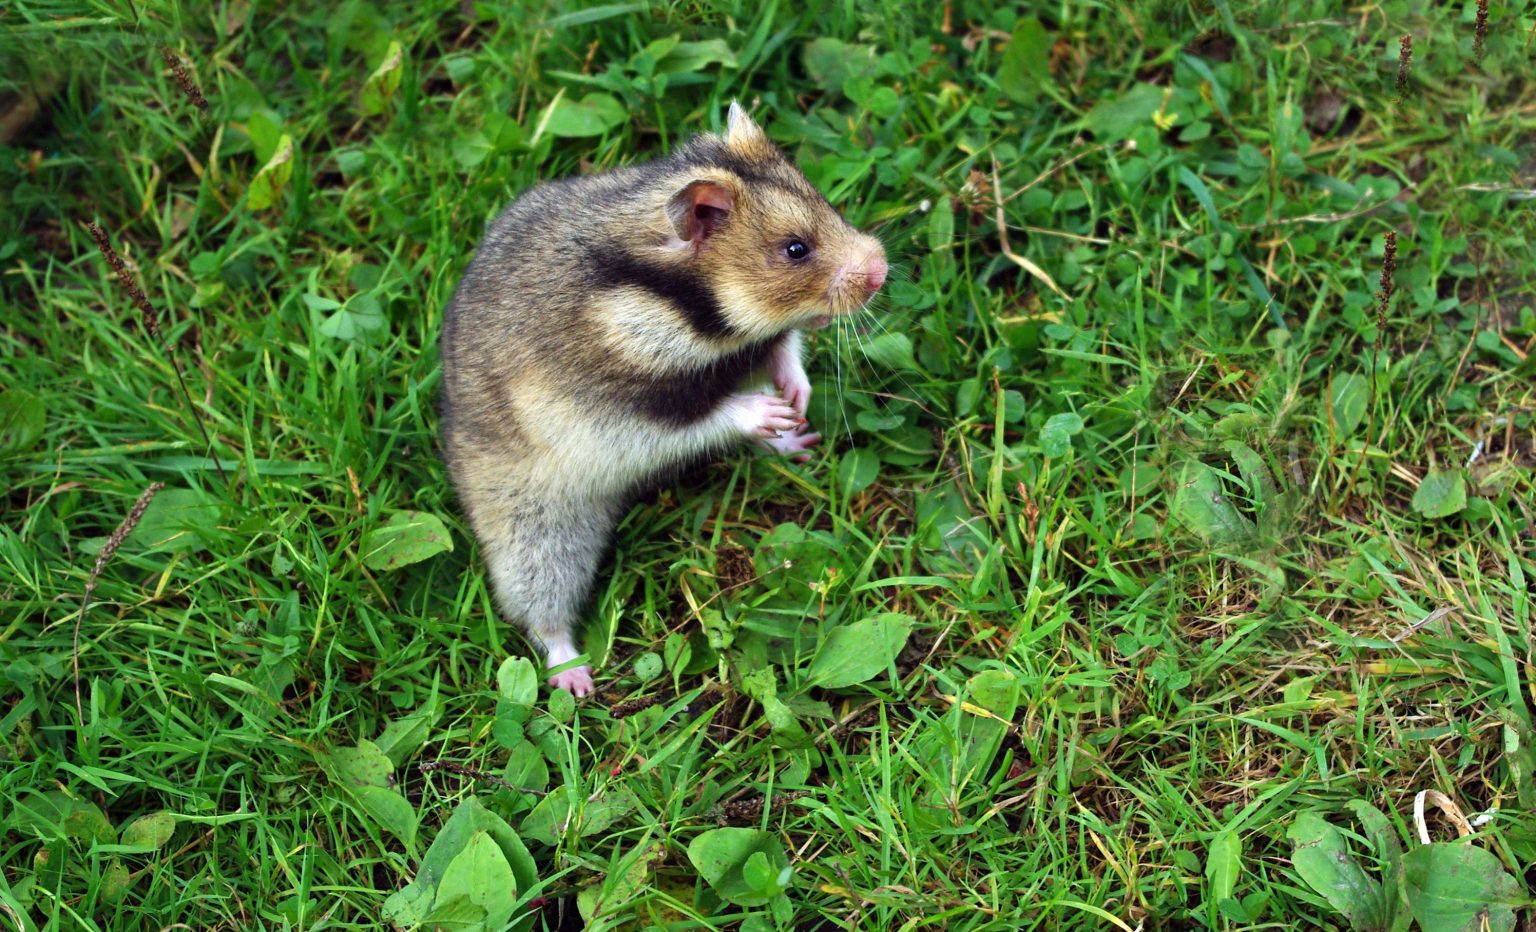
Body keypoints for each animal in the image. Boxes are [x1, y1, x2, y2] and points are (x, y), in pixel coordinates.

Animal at [438, 102, 887, 696]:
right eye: (795, 249)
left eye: (826, 204)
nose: (883, 268)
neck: (679, 304)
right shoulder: (618, 415)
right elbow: (705, 416)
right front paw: (768, 409)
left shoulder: (756, 346)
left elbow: (784, 349)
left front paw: (796, 399)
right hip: (534, 529)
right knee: (541, 614)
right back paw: (577, 679)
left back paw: (799, 440)